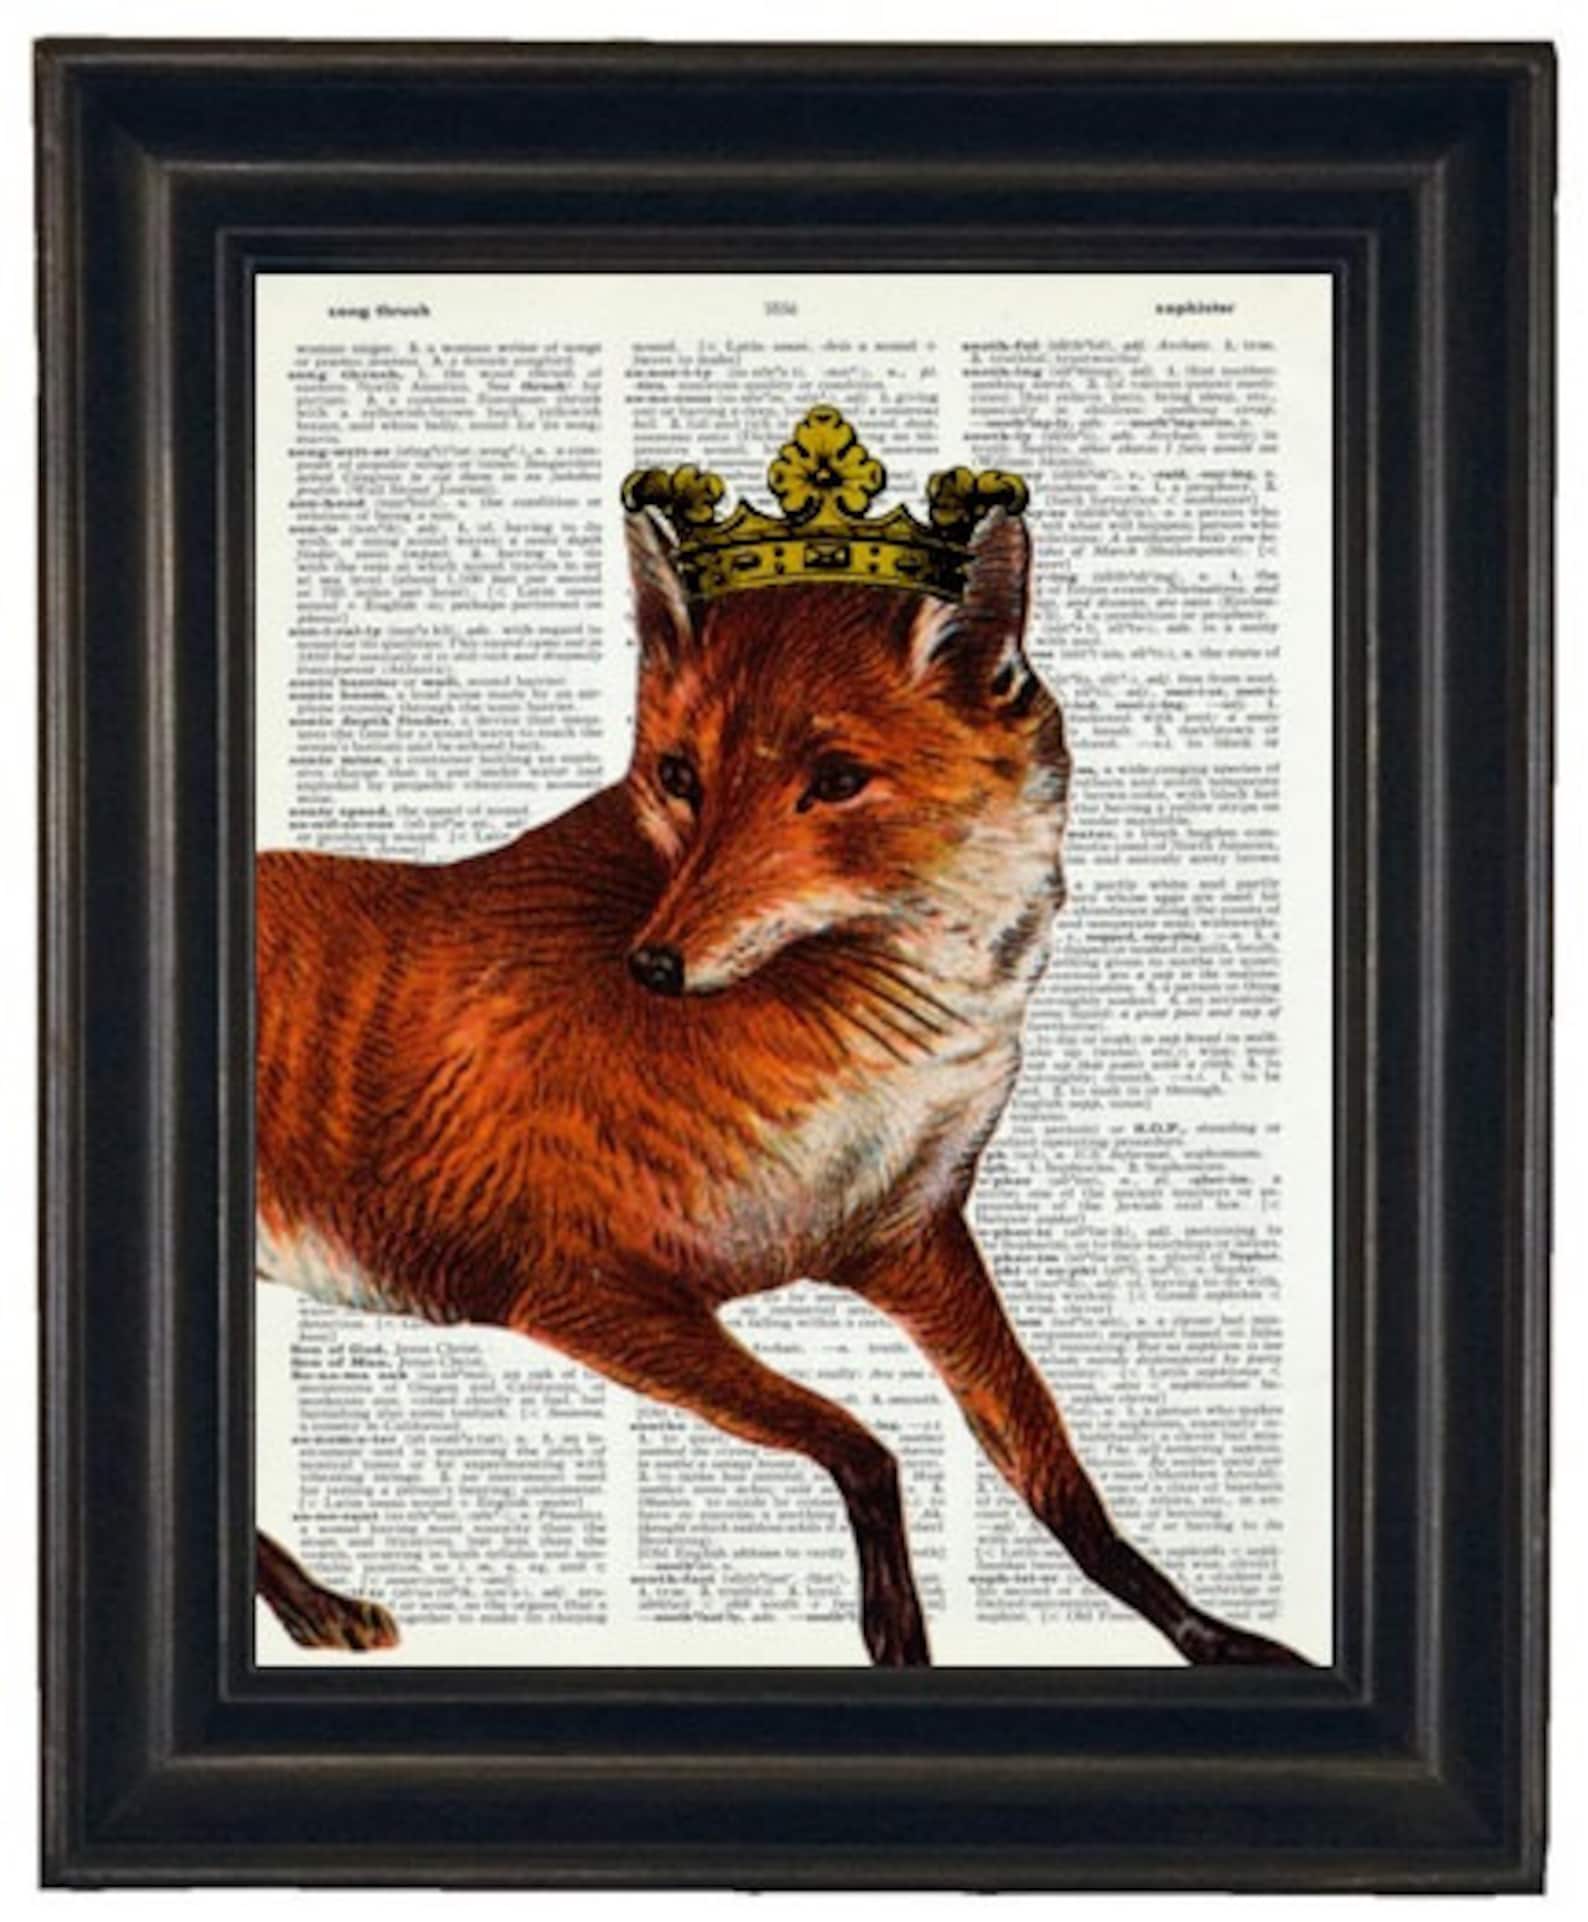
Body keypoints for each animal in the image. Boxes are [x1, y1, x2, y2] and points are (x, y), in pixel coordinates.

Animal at [255, 494, 1308, 1668]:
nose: (654, 965)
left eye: (838, 780)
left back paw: (313, 1607)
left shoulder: (907, 1240)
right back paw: (315, 1606)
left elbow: (1063, 1483)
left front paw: (1213, 1636)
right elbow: (864, 1447)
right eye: (680, 776)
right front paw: (898, 1632)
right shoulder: (584, 1291)